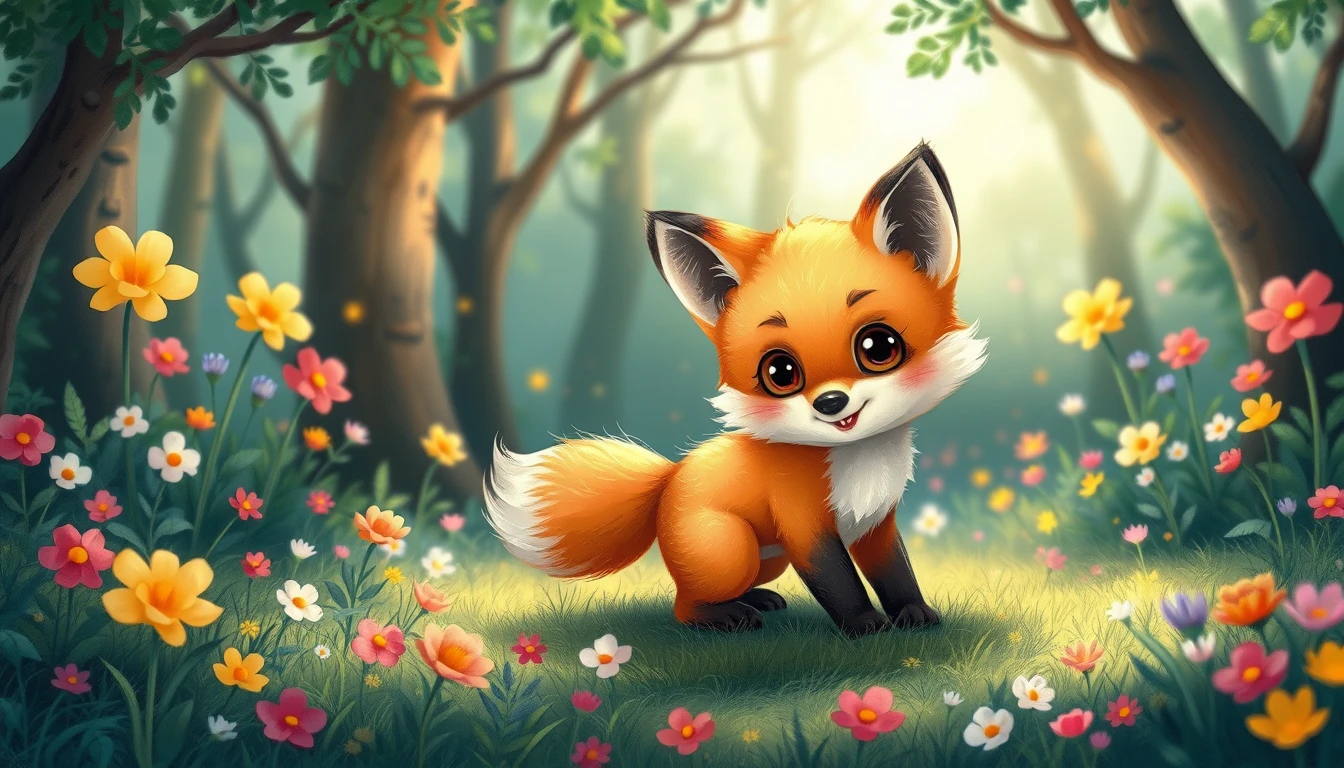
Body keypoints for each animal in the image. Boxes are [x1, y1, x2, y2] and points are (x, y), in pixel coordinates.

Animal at [483, 142, 987, 637]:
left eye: (878, 346)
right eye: (780, 372)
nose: (831, 403)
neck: (856, 465)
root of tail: (667, 480)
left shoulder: (874, 524)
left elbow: (896, 573)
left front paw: (913, 612)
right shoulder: (805, 528)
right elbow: (840, 584)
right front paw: (865, 626)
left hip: (768, 558)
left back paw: (756, 600)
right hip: (732, 547)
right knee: (684, 605)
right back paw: (727, 617)